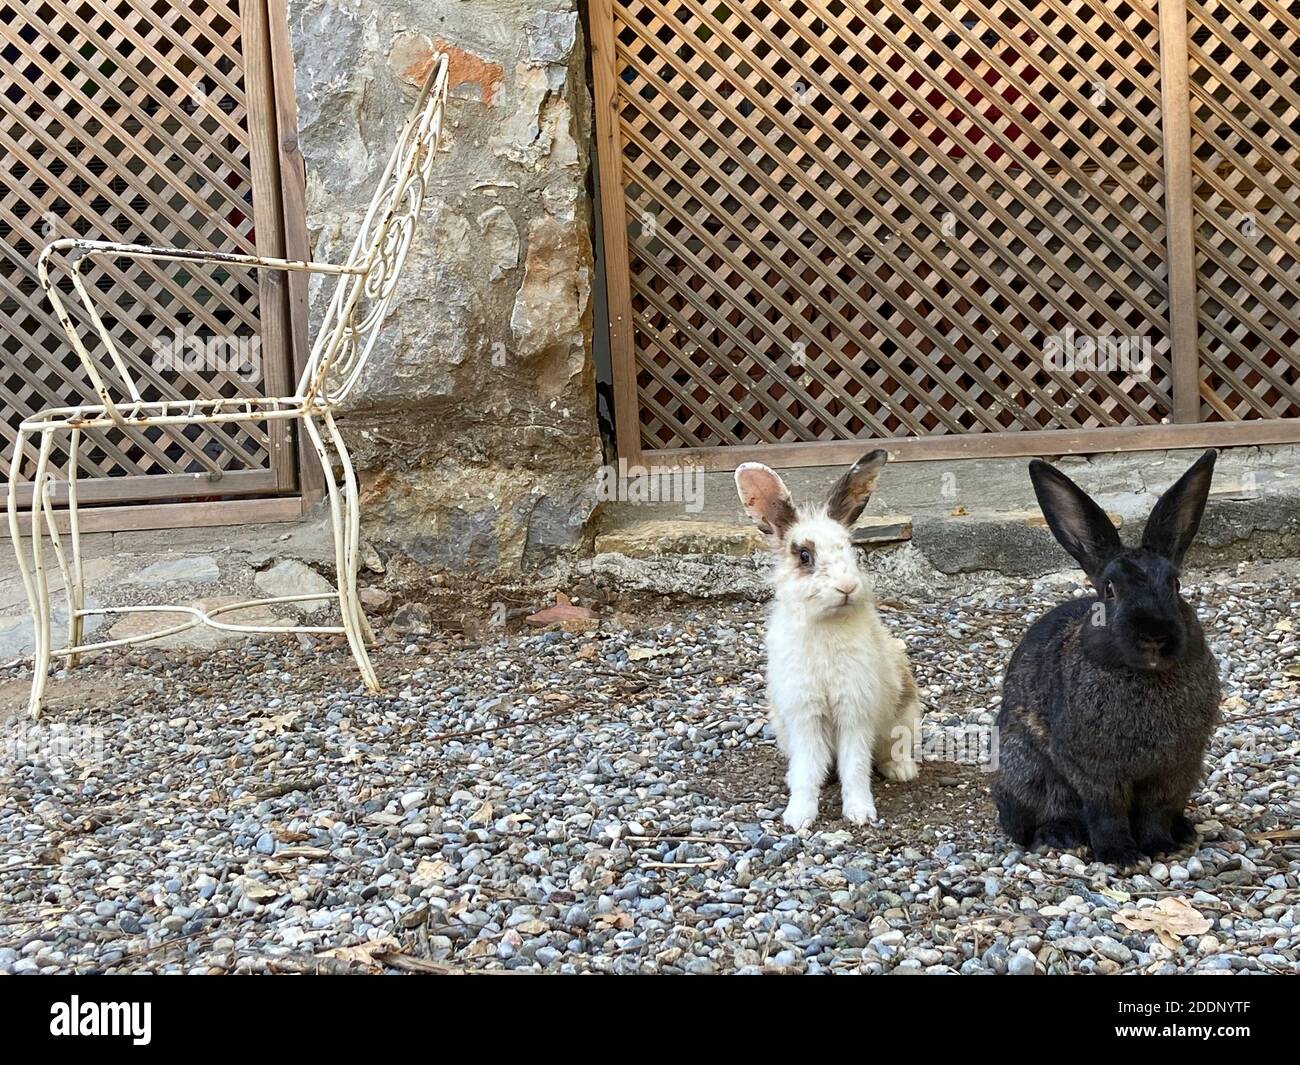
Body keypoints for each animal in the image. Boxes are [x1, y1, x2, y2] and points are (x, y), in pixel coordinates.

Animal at [735, 451, 922, 831]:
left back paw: (902, 770)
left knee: (886, 753)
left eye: (851, 549)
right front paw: (798, 817)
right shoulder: (805, 716)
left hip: (903, 719)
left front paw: (861, 814)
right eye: (804, 556)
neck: (827, 623)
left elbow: (855, 767)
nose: (847, 587)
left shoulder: (855, 713)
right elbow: (808, 770)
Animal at [993, 449, 1222, 870]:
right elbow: (1107, 812)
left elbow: (1155, 811)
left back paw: (1183, 833)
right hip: (1025, 768)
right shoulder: (1096, 774)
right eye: (1110, 589)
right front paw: (1122, 856)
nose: (1154, 634)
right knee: (1031, 821)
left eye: (1176, 584)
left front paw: (1161, 847)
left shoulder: (1173, 771)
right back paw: (1060, 838)